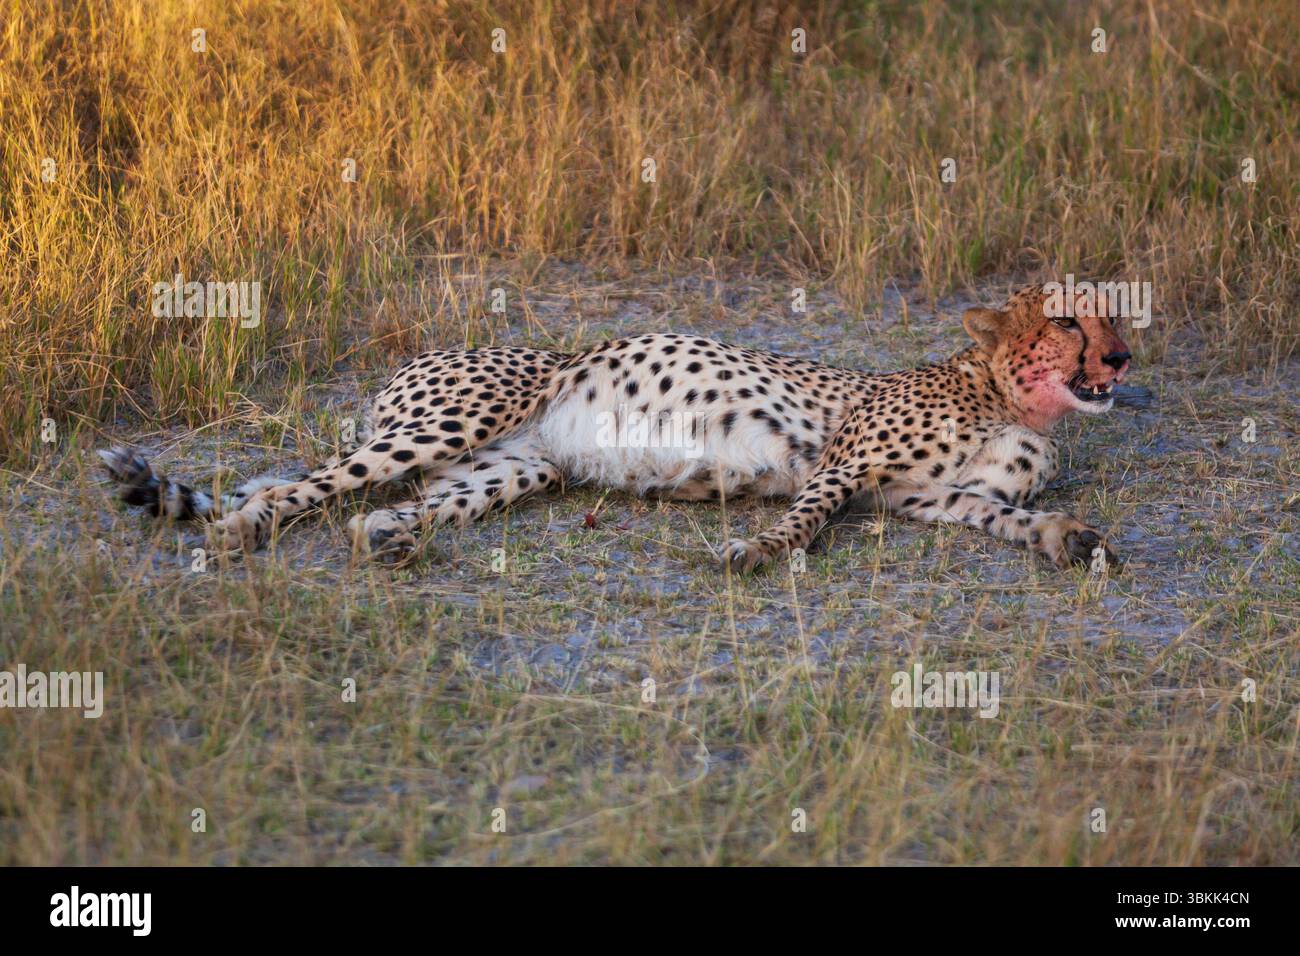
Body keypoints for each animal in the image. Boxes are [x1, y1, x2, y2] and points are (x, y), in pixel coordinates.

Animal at [99, 282, 1134, 572]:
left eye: (1114, 313)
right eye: (1069, 318)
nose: (1123, 358)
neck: (1003, 394)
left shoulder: (933, 502)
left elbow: (1009, 516)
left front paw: (1069, 536)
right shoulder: (844, 463)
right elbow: (805, 518)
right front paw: (755, 554)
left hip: (515, 470)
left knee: (384, 506)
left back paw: (388, 537)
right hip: (457, 416)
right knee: (311, 486)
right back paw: (237, 533)